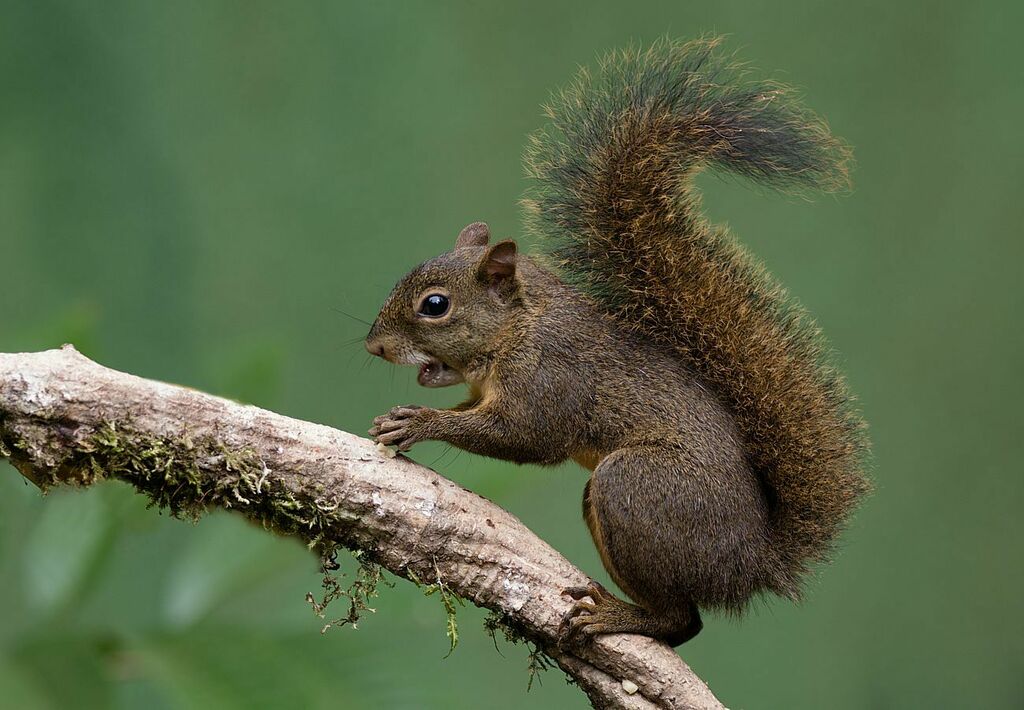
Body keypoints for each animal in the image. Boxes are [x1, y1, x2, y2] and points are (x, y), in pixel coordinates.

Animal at [365, 37, 869, 647]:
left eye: (435, 305)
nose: (373, 346)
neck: (519, 329)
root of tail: (753, 563)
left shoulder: (551, 379)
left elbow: (523, 437)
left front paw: (419, 422)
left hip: (634, 487)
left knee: (683, 619)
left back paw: (616, 615)